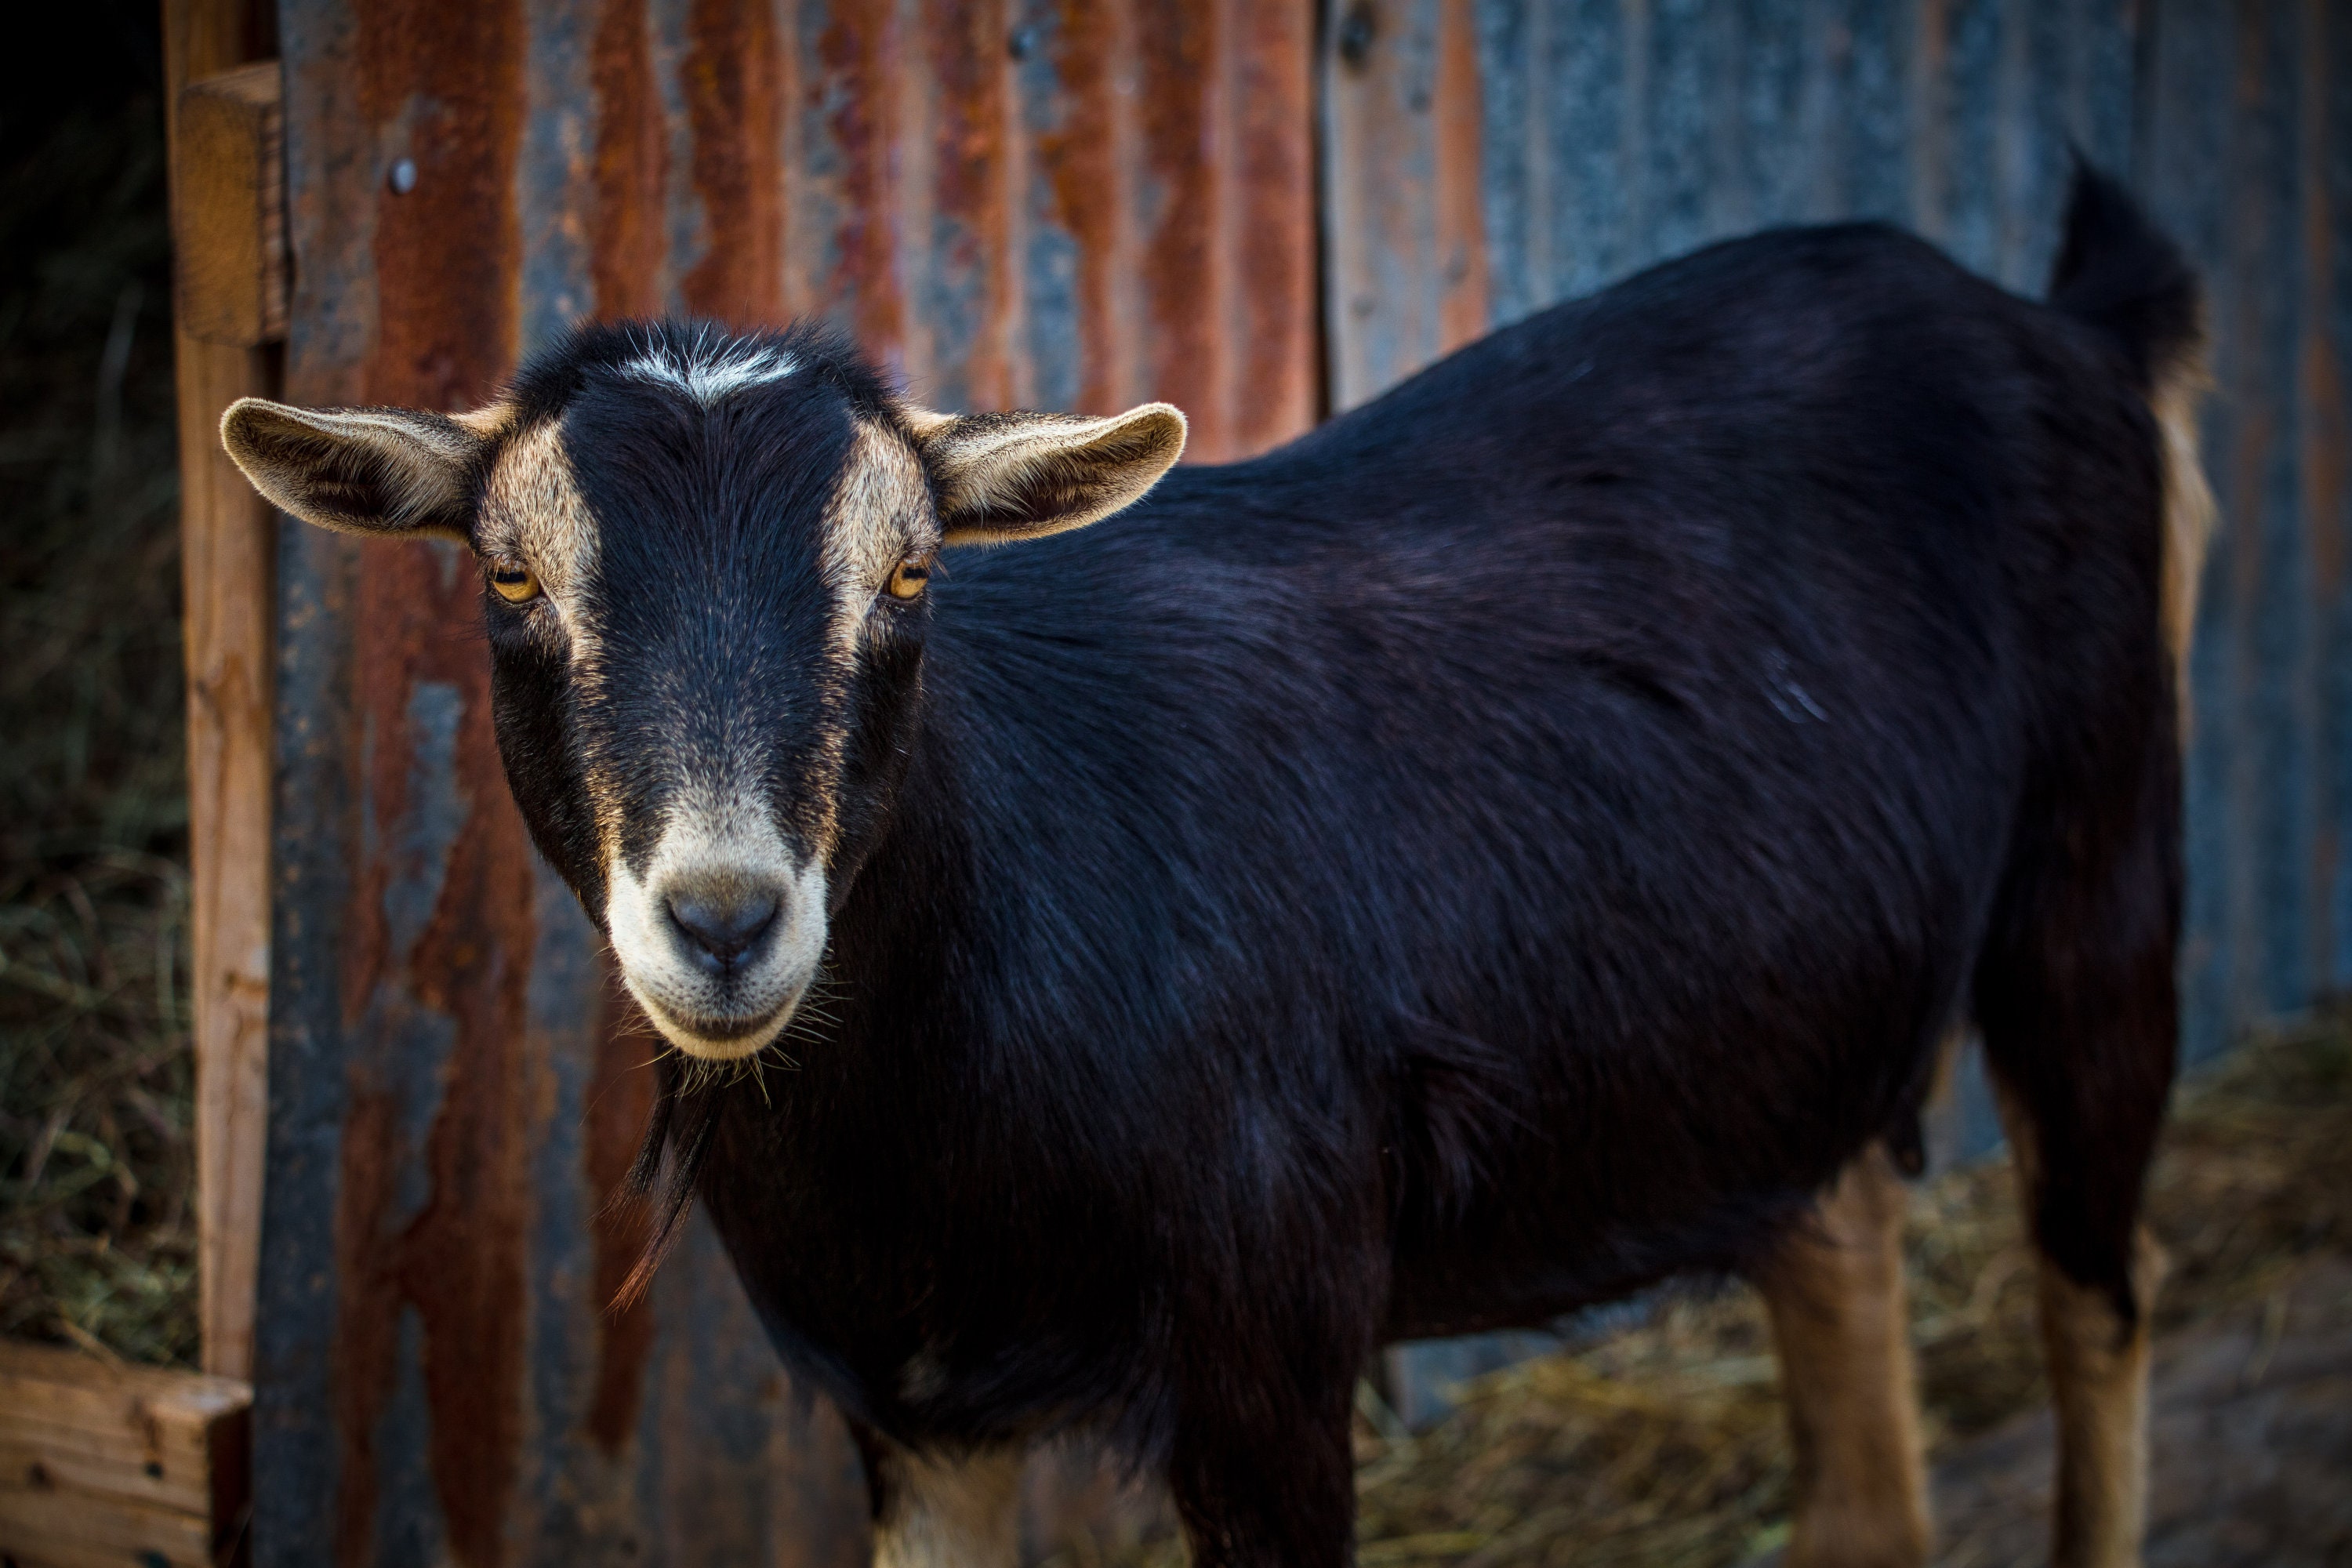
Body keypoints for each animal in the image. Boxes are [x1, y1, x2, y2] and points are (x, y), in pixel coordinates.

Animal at [223, 166, 2209, 1568]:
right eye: (507, 578)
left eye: (911, 575)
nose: (723, 920)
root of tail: (2057, 329)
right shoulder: (915, 1401)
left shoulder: (1271, 1342)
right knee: (1847, 1267)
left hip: (2103, 850)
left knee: (2105, 1283)